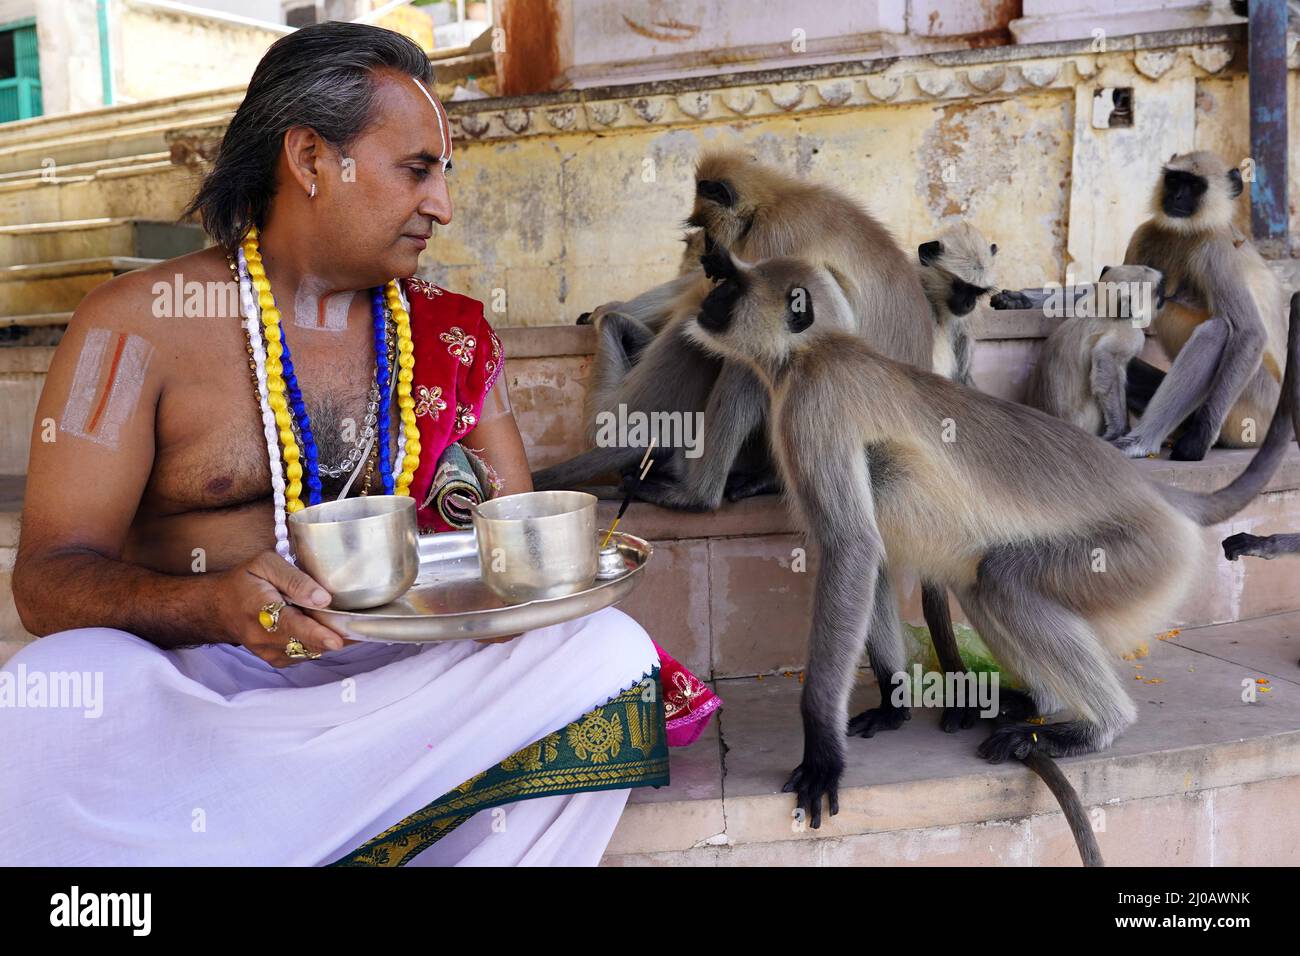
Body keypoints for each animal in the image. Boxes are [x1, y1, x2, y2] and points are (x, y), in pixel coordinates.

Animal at [531, 149, 934, 510]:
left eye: (706, 230)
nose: (708, 252)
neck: (775, 200)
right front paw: (605, 310)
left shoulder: (772, 235)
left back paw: (702, 494)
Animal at [1025, 265, 1166, 440]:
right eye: (1158, 291)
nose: (1164, 298)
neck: (1100, 310)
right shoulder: (1130, 332)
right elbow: (1105, 357)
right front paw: (1118, 430)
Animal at [1112, 151, 1287, 461]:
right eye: (1174, 180)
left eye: (1194, 186)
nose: (1177, 196)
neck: (1186, 234)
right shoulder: (1143, 234)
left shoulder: (1215, 251)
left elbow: (1249, 333)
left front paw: (1198, 439)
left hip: (1256, 408)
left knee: (1218, 330)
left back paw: (1142, 441)